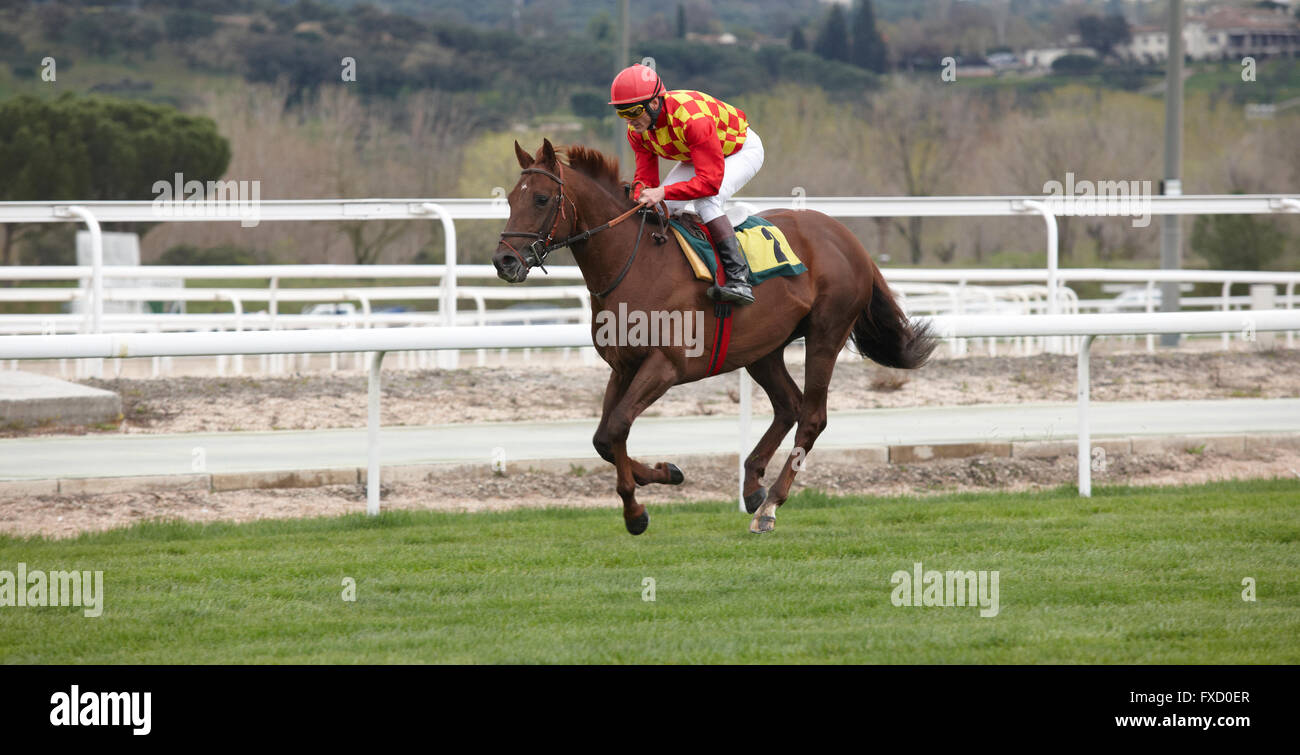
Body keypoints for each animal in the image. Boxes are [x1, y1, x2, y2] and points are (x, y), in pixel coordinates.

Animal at [492, 139, 935, 535]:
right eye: (511, 199)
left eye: (542, 199)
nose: (504, 261)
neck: (634, 264)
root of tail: (847, 238)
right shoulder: (623, 366)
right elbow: (605, 437)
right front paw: (661, 478)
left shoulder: (665, 365)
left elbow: (616, 426)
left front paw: (637, 509)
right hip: (762, 347)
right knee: (788, 405)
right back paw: (753, 486)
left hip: (826, 333)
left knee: (811, 416)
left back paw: (770, 506)